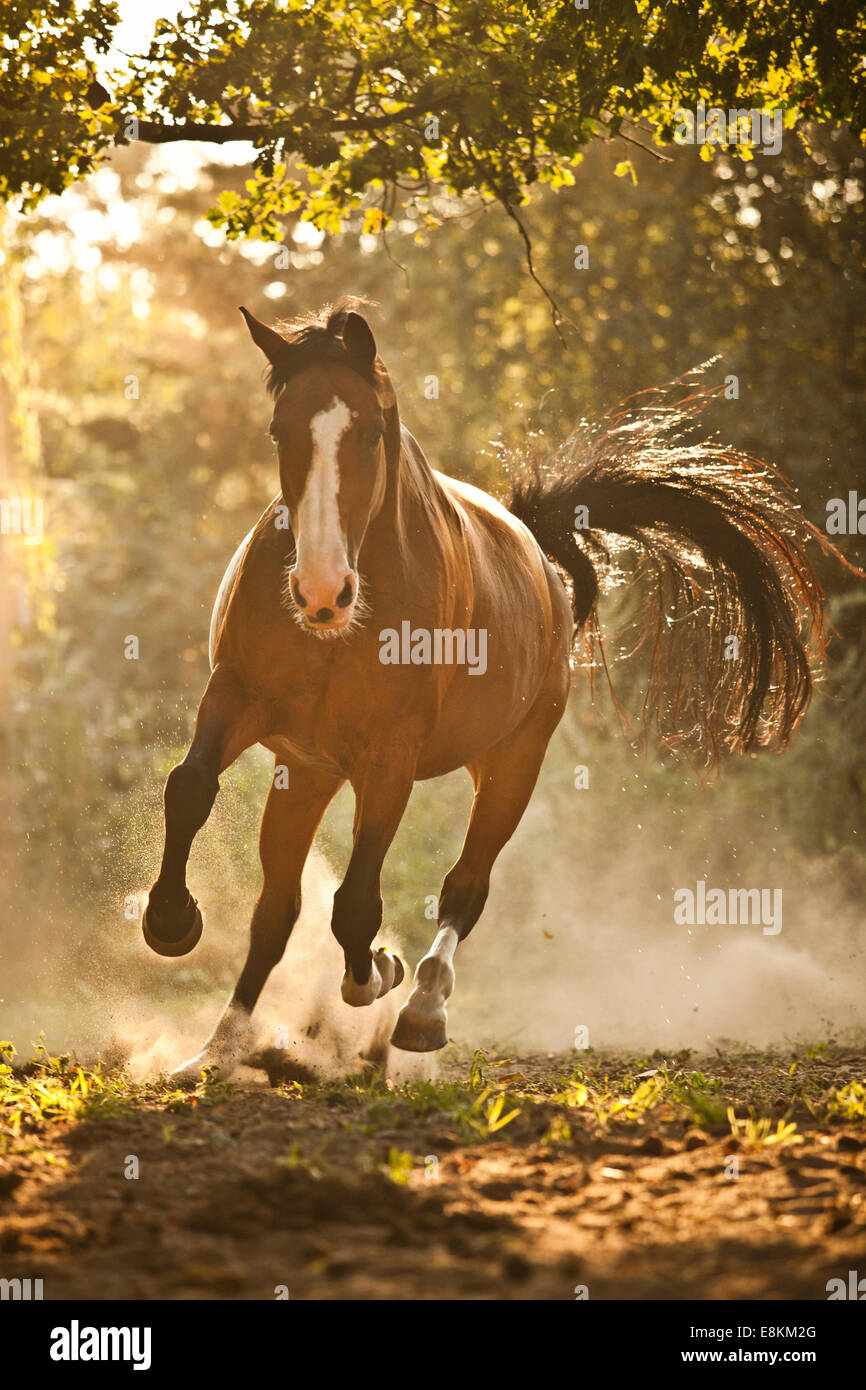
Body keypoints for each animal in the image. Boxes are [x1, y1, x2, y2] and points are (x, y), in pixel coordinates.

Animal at [142, 298, 825, 1082]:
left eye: (370, 433)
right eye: (281, 431)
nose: (320, 591)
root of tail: (536, 547)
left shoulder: (391, 756)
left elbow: (358, 905)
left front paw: (377, 974)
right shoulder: (237, 699)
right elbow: (190, 788)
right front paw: (170, 921)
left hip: (510, 764)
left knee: (463, 888)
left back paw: (420, 1008)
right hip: (307, 773)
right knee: (275, 912)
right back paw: (217, 1049)